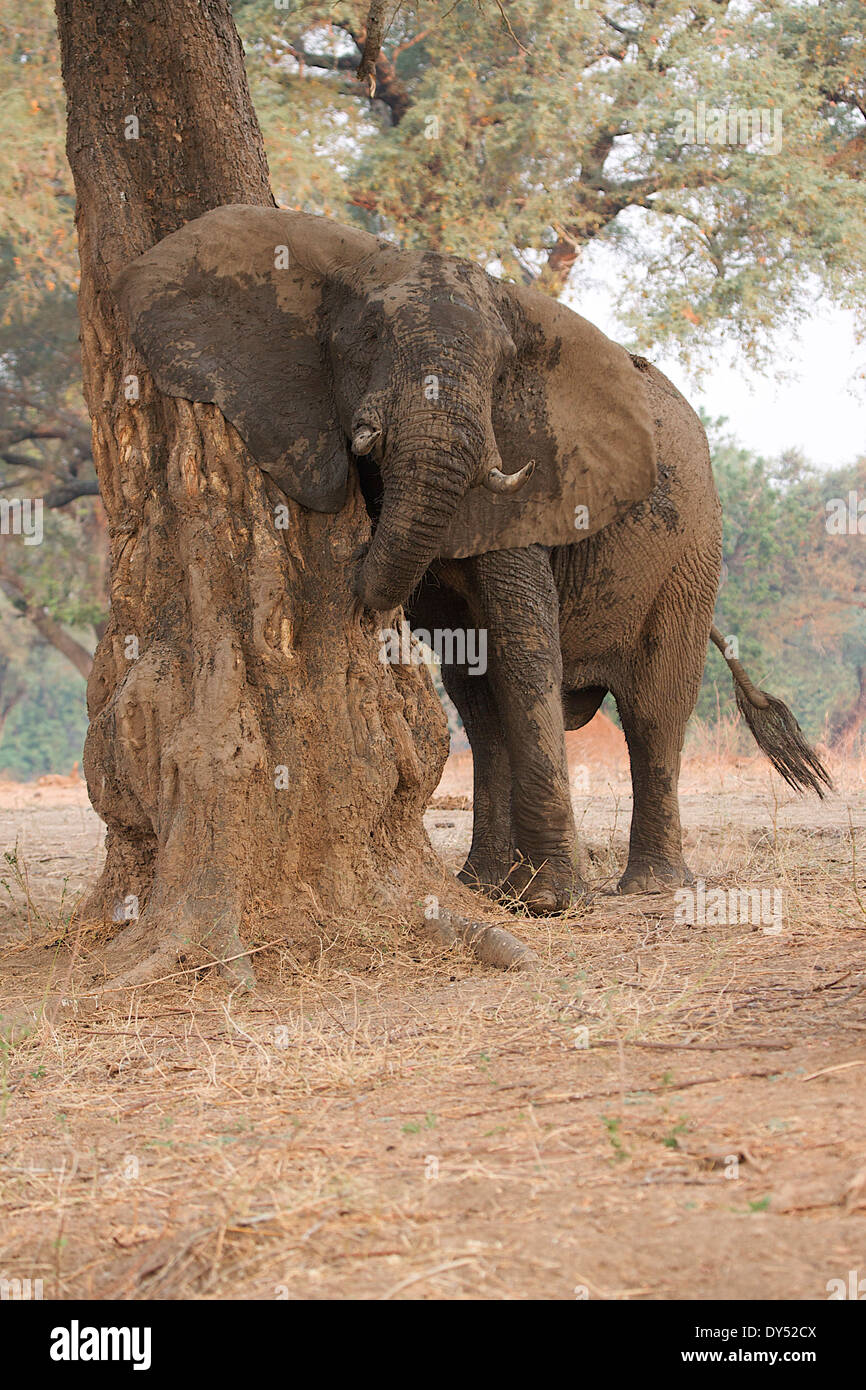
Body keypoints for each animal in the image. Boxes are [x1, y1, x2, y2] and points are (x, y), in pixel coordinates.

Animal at [115, 204, 831, 913]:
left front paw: (555, 900)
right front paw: (496, 891)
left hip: (691, 551)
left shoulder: (529, 471)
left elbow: (524, 647)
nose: (354, 563)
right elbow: (473, 667)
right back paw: (499, 886)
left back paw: (652, 885)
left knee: (655, 708)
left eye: (502, 366)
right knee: (485, 704)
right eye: (367, 336)